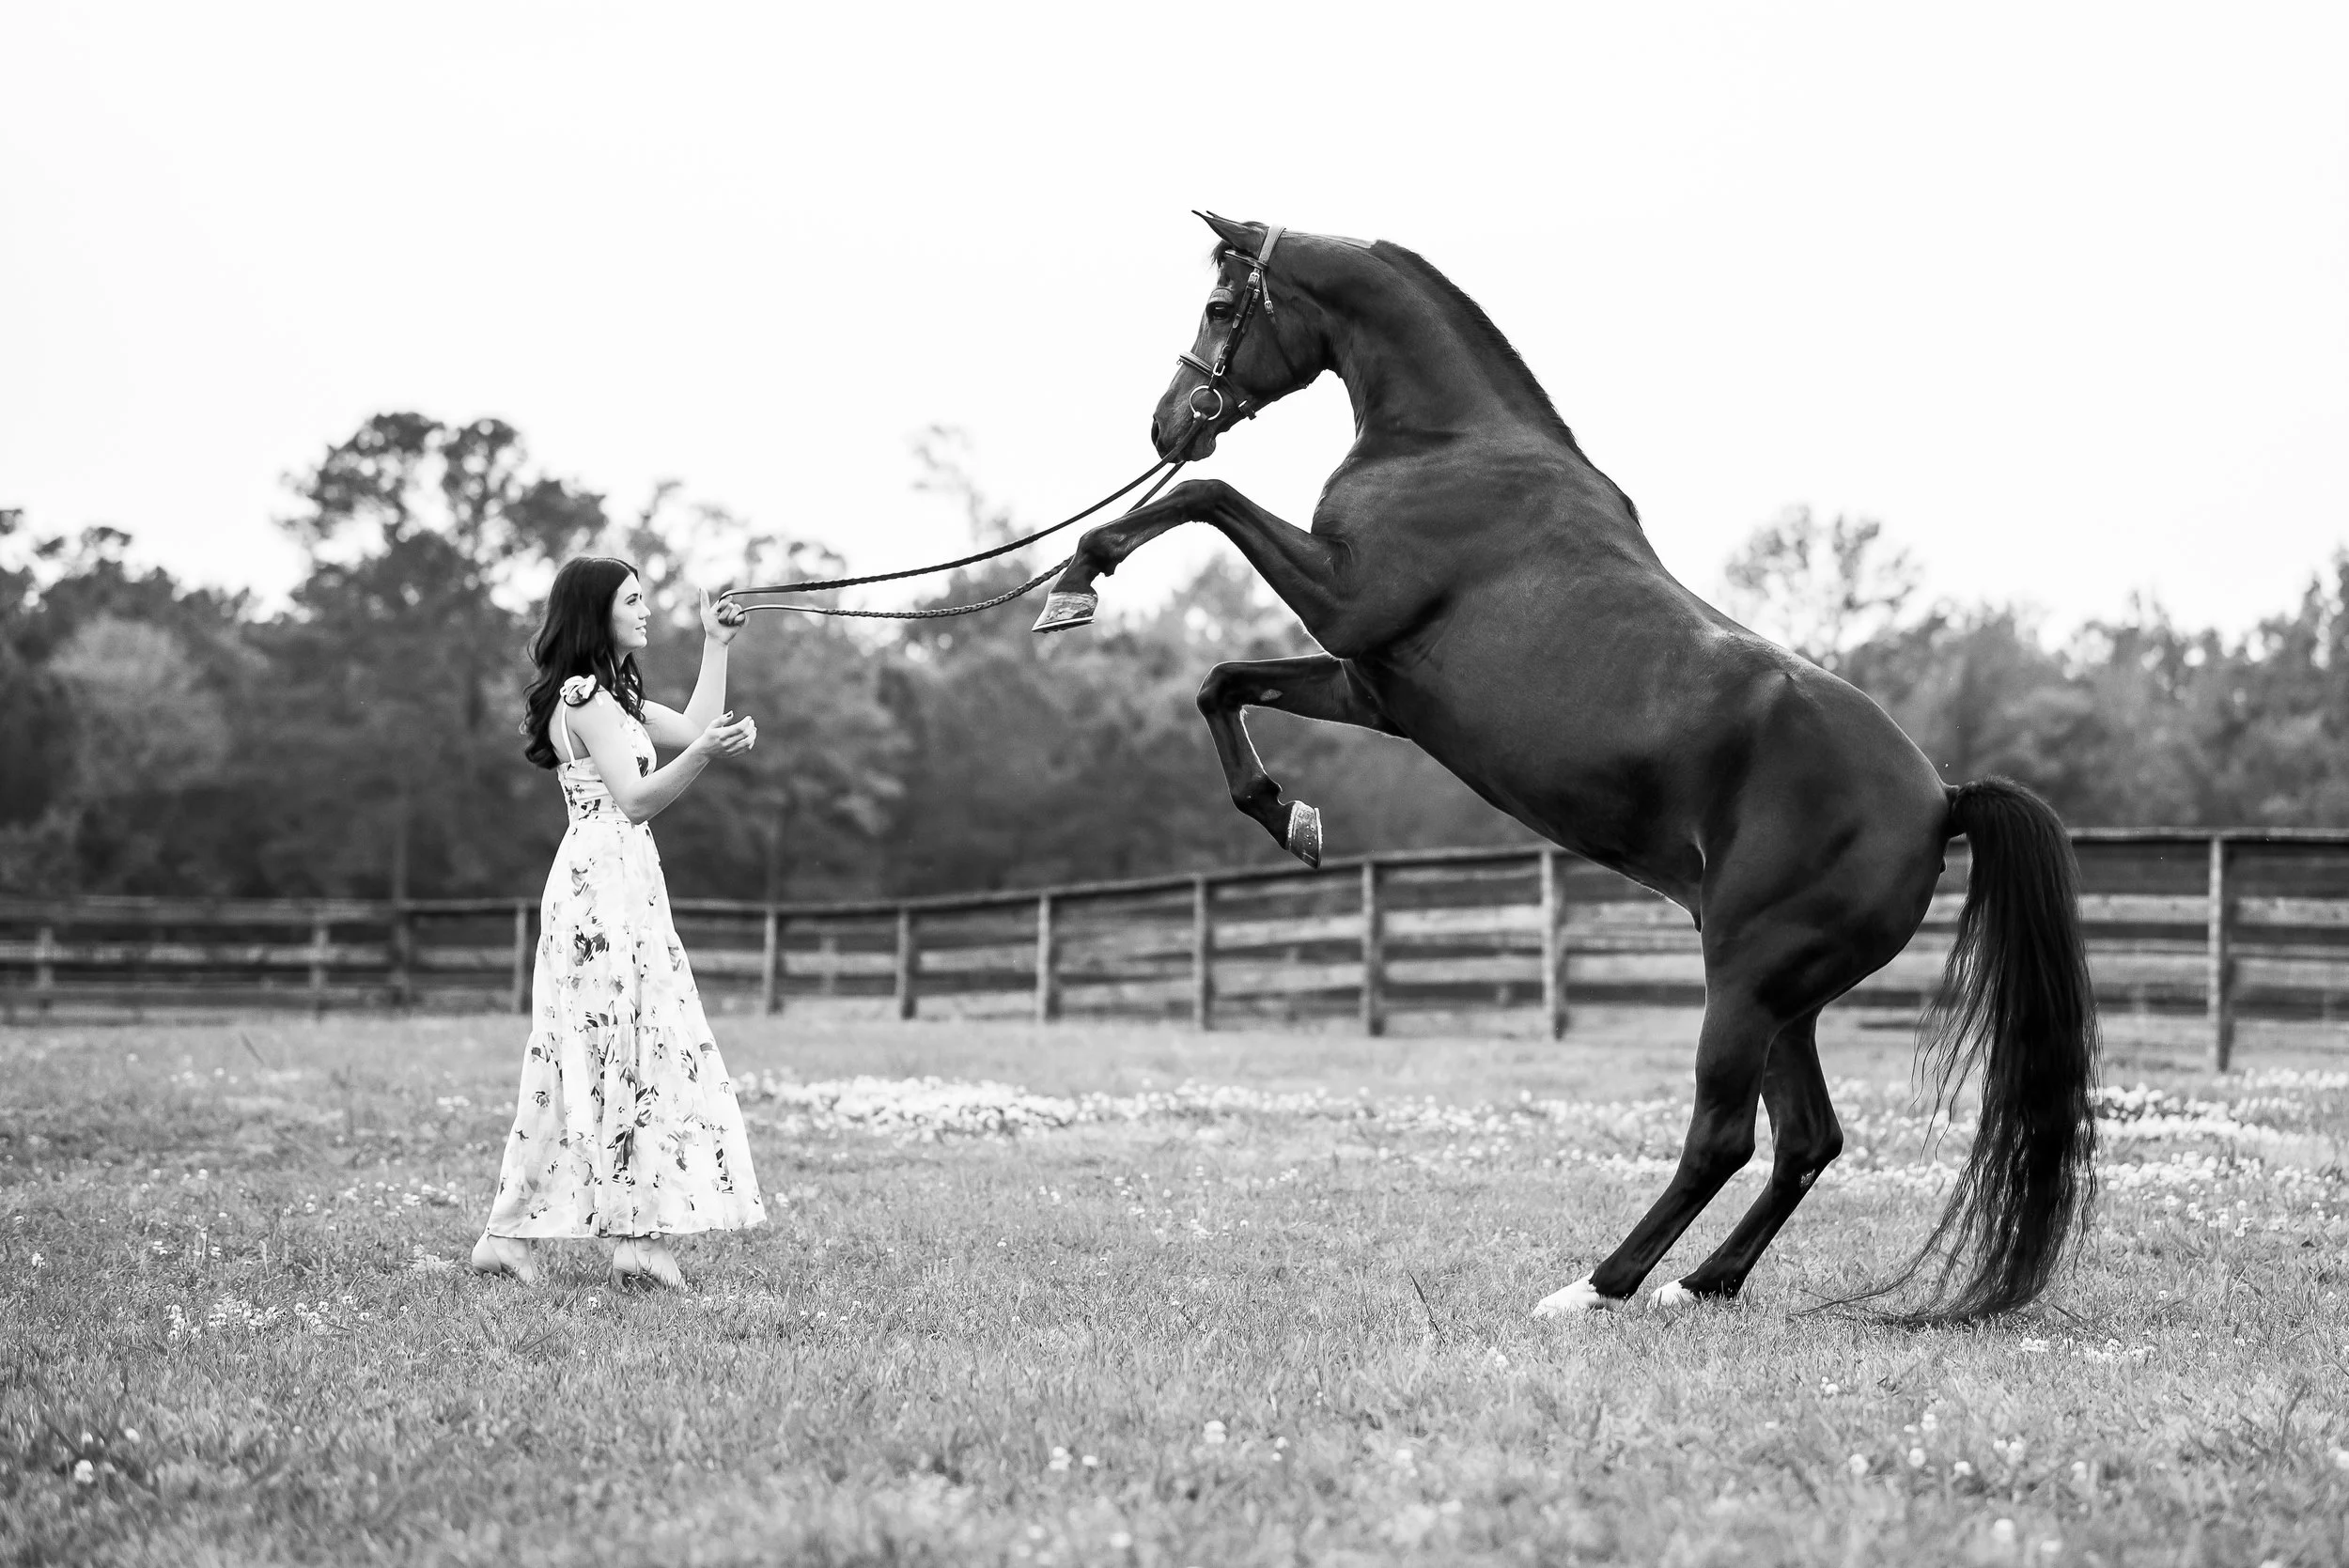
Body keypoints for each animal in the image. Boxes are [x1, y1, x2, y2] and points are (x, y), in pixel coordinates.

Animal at [1031, 213, 2097, 1324]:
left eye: (1220, 305)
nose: (1167, 425)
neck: (1452, 447)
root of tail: (1940, 799)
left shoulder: (1348, 603)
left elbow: (1210, 499)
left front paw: (1078, 577)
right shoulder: (1372, 687)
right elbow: (1221, 681)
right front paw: (1287, 815)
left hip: (1747, 978)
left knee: (1723, 1137)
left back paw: (1595, 1288)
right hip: (1787, 998)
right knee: (1808, 1140)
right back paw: (1696, 1286)